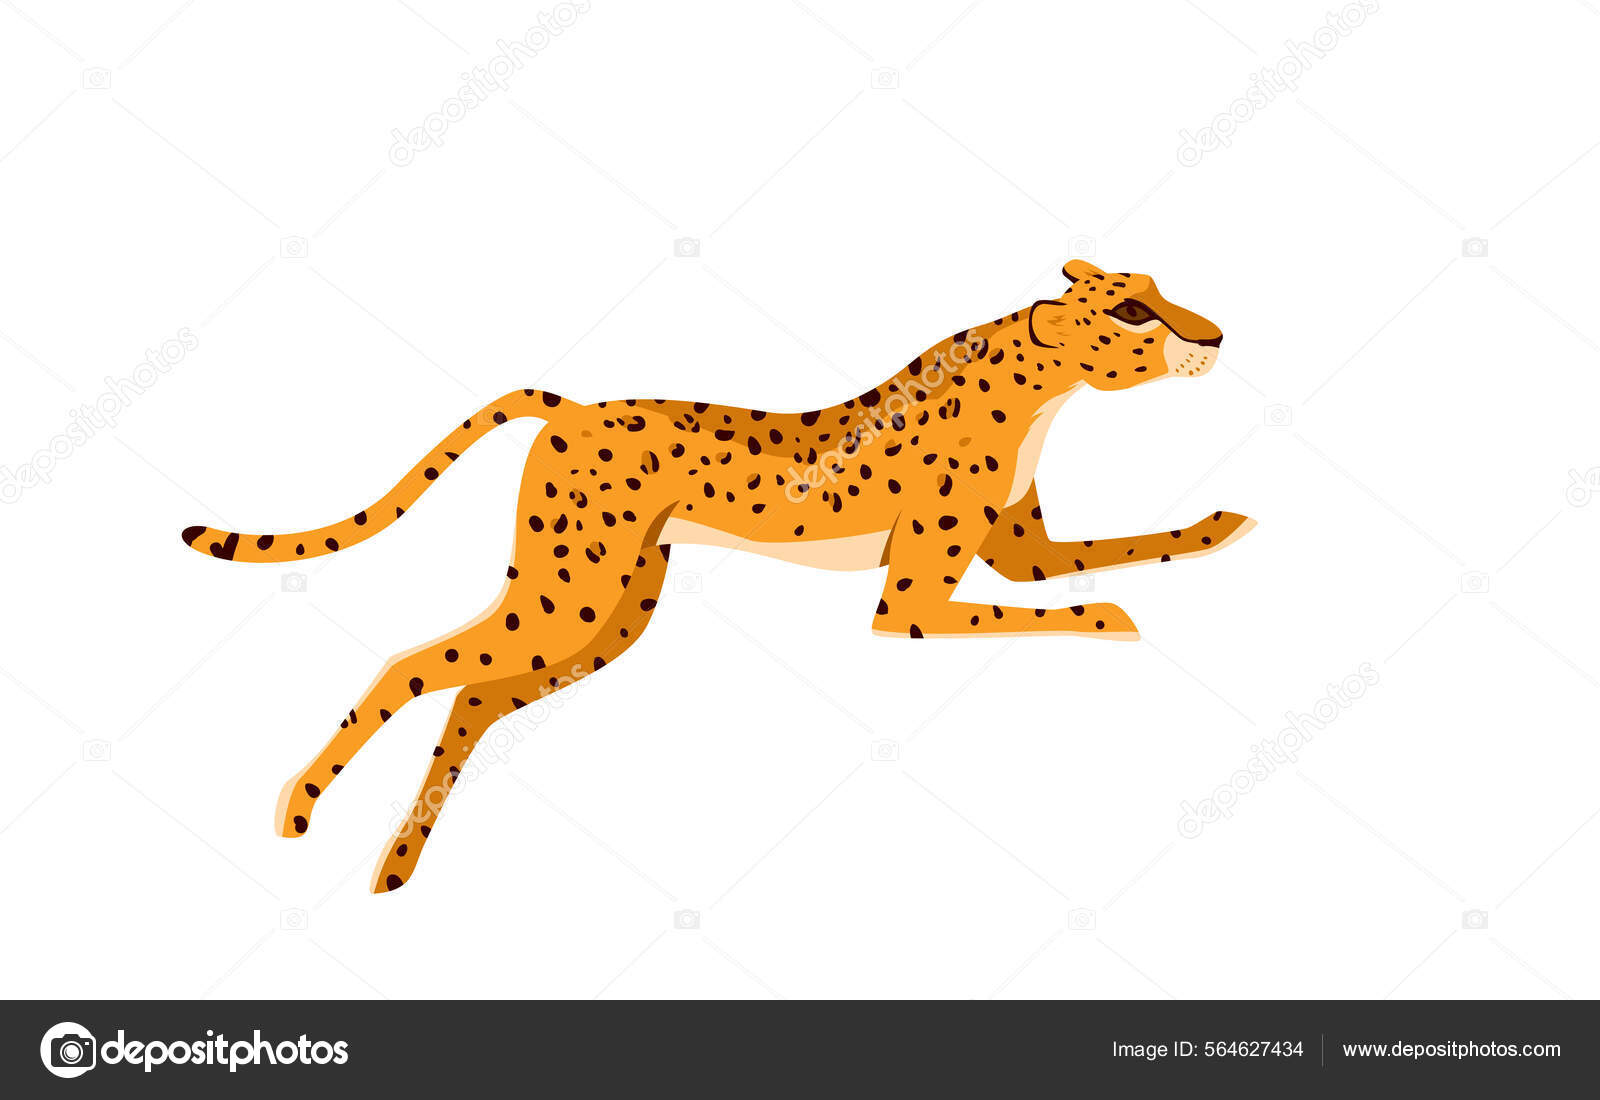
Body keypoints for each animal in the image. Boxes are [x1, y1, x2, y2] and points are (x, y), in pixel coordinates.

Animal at [181, 258, 1254, 892]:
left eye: (1155, 289)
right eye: (1131, 309)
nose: (1215, 337)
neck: (1040, 385)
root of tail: (573, 404)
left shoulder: (1025, 549)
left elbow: (1130, 542)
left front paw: (1222, 524)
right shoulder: (908, 604)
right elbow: (1050, 608)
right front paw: (1112, 617)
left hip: (609, 615)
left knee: (472, 698)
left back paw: (399, 862)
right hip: (567, 599)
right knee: (415, 666)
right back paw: (301, 807)